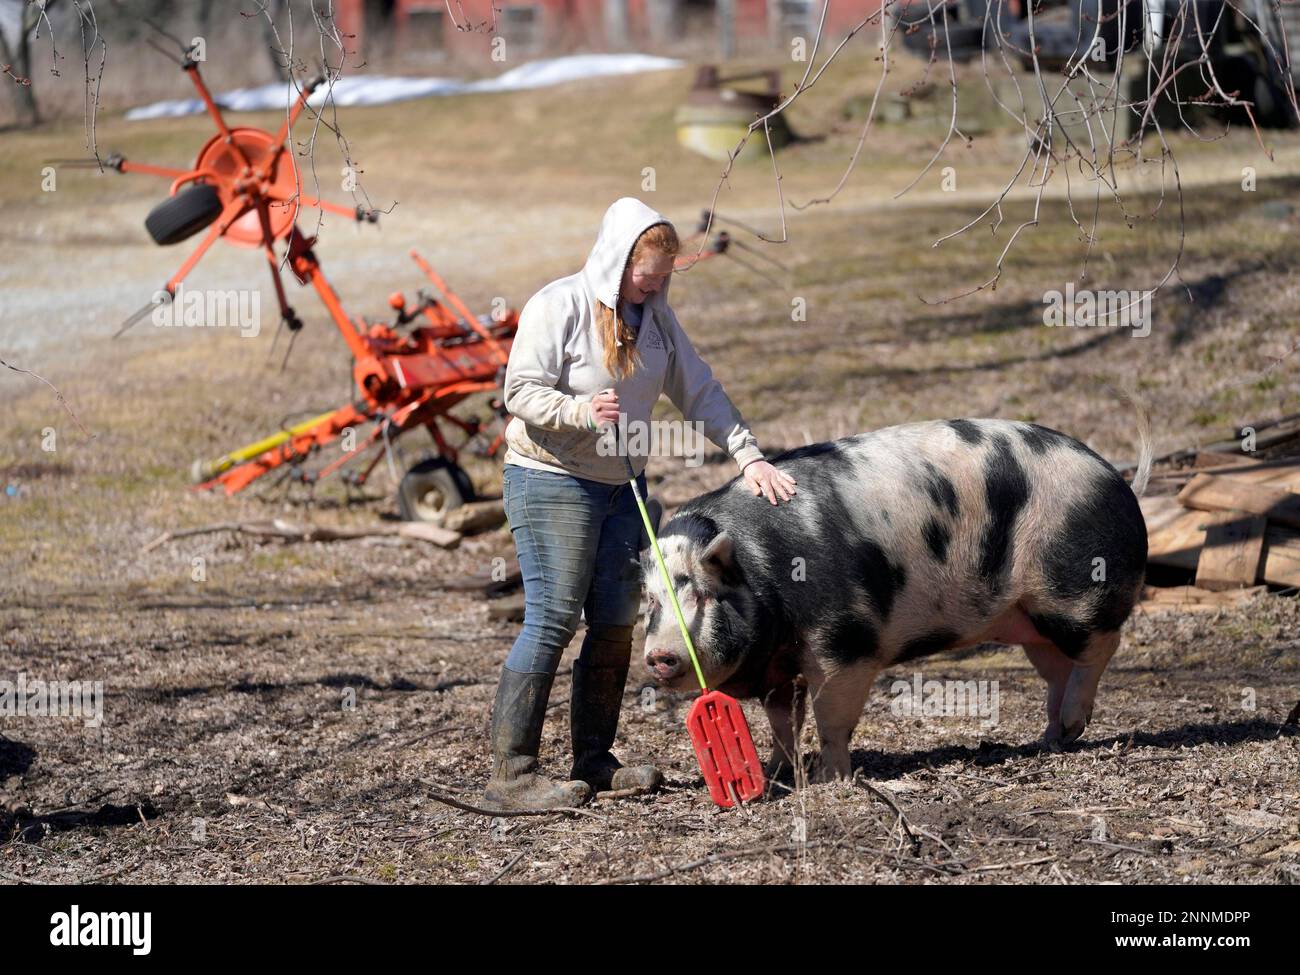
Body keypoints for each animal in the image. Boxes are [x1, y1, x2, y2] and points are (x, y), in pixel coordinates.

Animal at [640, 417, 1151, 781]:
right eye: (651, 601)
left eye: (701, 593)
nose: (660, 656)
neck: (763, 571)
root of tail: (1119, 481)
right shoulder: (778, 667)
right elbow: (783, 722)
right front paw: (780, 775)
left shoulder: (844, 640)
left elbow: (831, 718)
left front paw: (828, 779)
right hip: (1029, 619)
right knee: (1057, 669)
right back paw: (1049, 739)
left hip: (1073, 592)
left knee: (1101, 645)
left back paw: (1070, 726)